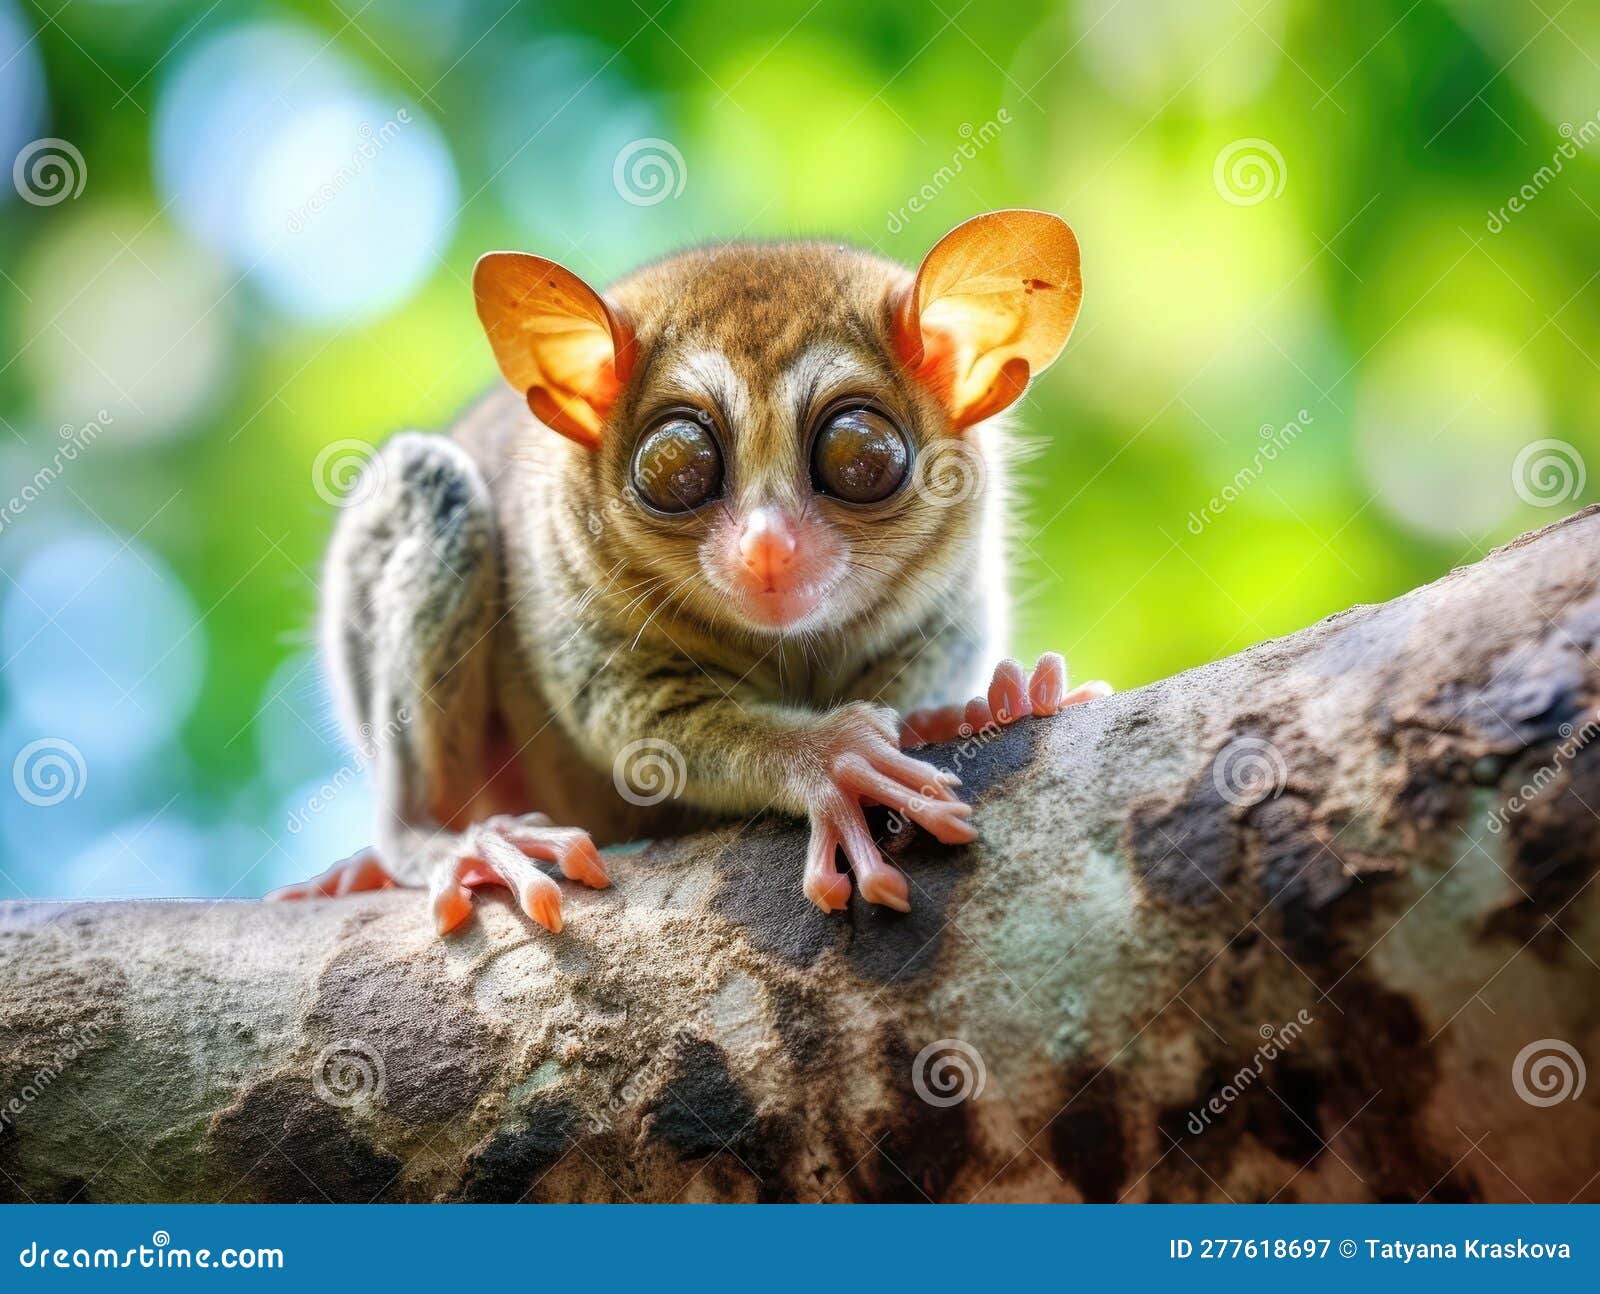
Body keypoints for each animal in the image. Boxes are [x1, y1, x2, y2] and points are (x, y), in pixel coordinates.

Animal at [268, 209, 1111, 935]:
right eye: (674, 466)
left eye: (864, 457)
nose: (768, 548)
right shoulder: (566, 581)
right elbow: (632, 723)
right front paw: (831, 761)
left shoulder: (952, 588)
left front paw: (977, 710)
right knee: (429, 482)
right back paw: (451, 842)